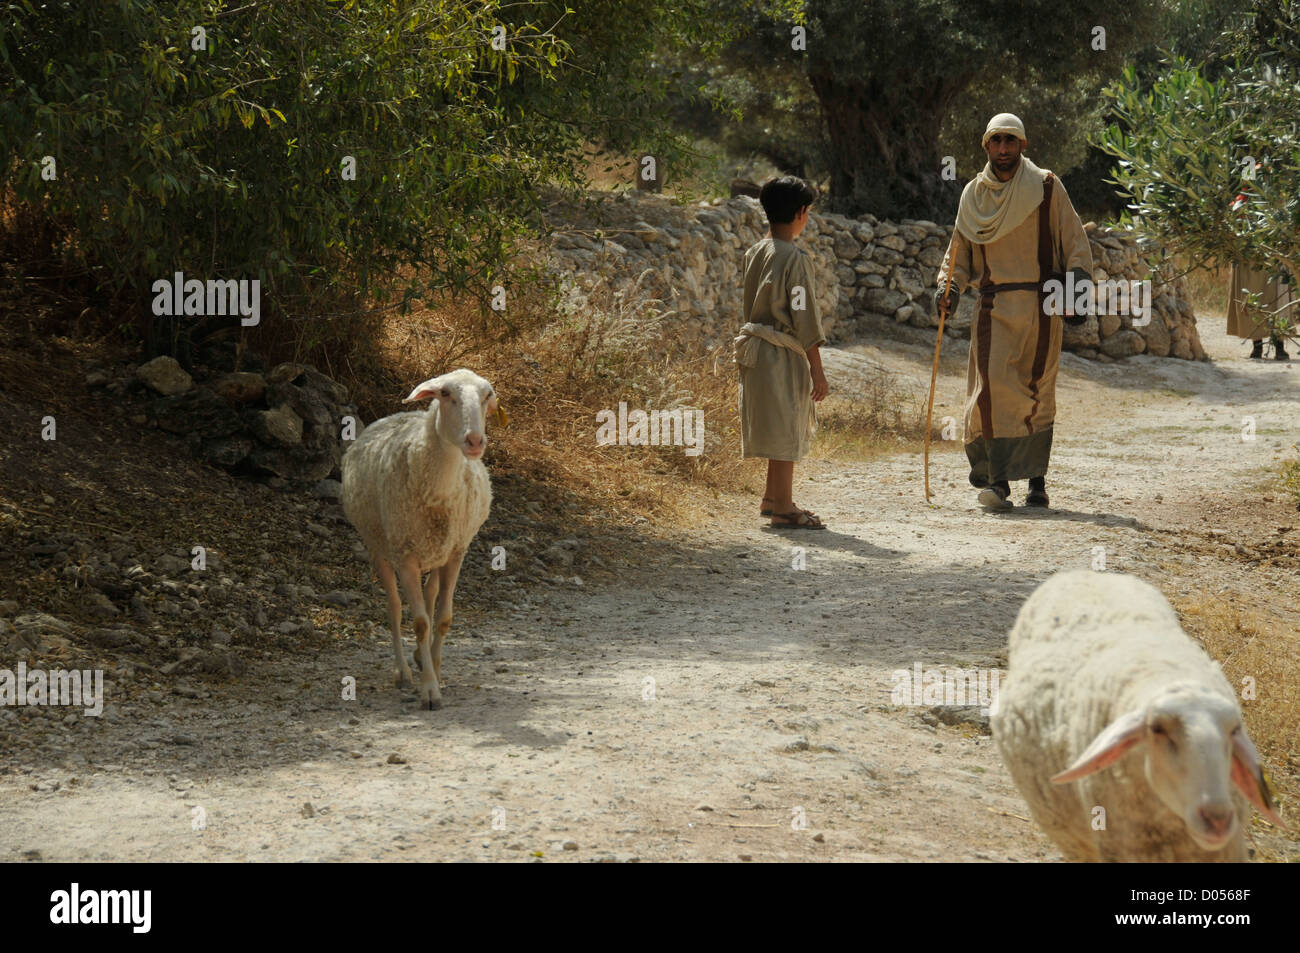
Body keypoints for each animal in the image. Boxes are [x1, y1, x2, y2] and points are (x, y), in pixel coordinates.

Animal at [341, 368, 501, 710]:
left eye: (487, 396)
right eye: (445, 393)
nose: (474, 441)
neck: (439, 493)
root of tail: (398, 414)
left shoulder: (456, 552)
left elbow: (442, 619)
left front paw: (436, 673)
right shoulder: (405, 557)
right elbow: (420, 623)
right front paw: (429, 689)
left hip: (437, 550)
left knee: (430, 594)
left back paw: (421, 656)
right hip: (380, 546)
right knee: (394, 607)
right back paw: (403, 671)